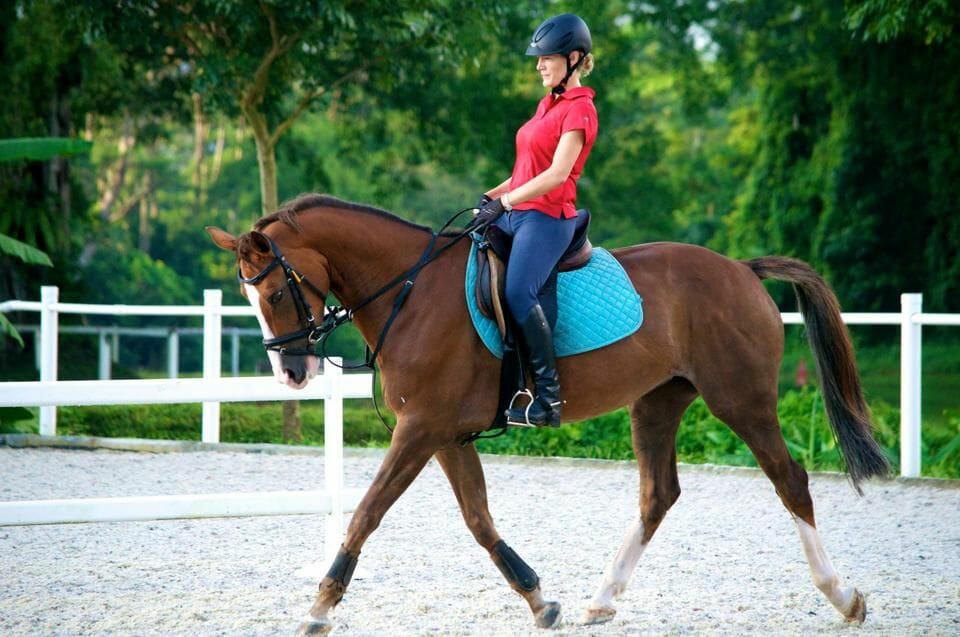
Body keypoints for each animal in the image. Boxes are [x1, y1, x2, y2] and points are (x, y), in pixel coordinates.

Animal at [206, 193, 889, 635]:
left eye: (275, 291)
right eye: (247, 294)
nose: (291, 374)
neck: (411, 291)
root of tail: (741, 270)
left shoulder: (420, 429)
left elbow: (368, 512)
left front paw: (320, 605)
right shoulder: (445, 434)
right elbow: (479, 520)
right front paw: (539, 599)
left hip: (740, 399)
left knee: (789, 481)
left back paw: (843, 596)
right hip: (657, 401)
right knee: (658, 494)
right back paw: (601, 599)